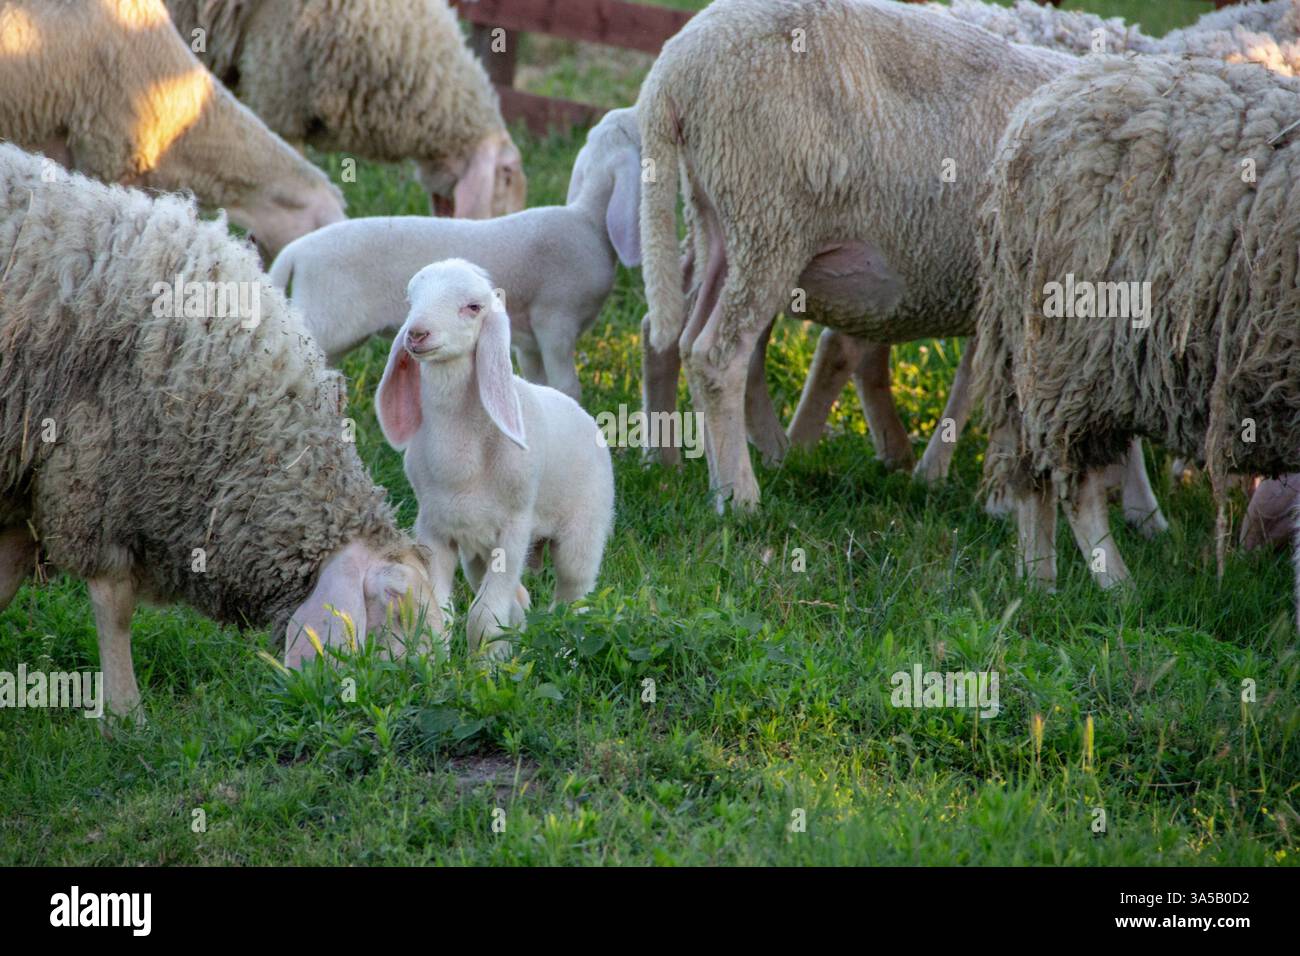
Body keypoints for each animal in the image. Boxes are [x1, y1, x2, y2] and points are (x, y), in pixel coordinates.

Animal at [0, 143, 435, 720]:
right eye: (396, 606)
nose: (423, 695)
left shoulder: (26, 478)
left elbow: (5, 579)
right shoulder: (91, 474)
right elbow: (114, 603)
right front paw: (124, 713)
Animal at [269, 107, 642, 400]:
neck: (589, 221)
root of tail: (297, 251)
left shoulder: (529, 340)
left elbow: (540, 382)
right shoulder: (555, 321)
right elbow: (567, 385)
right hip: (322, 321)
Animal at [375, 259, 614, 660]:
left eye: (473, 307)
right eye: (410, 300)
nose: (417, 333)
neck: (461, 458)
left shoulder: (515, 527)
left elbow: (485, 615)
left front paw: (487, 666)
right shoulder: (435, 529)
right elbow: (438, 612)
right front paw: (436, 663)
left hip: (584, 529)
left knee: (573, 594)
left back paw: (566, 647)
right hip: (476, 552)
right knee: (519, 596)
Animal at [638, 0, 1098, 513]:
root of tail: (674, 68)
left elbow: (973, 380)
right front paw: (983, 491)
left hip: (716, 221)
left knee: (672, 331)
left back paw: (673, 463)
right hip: (768, 217)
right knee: (719, 356)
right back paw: (741, 496)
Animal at [972, 55, 1300, 609]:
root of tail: (1032, 112)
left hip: (1037, 351)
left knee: (1033, 475)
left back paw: (1038, 583)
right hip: (1076, 350)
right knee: (1073, 480)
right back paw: (1119, 591)